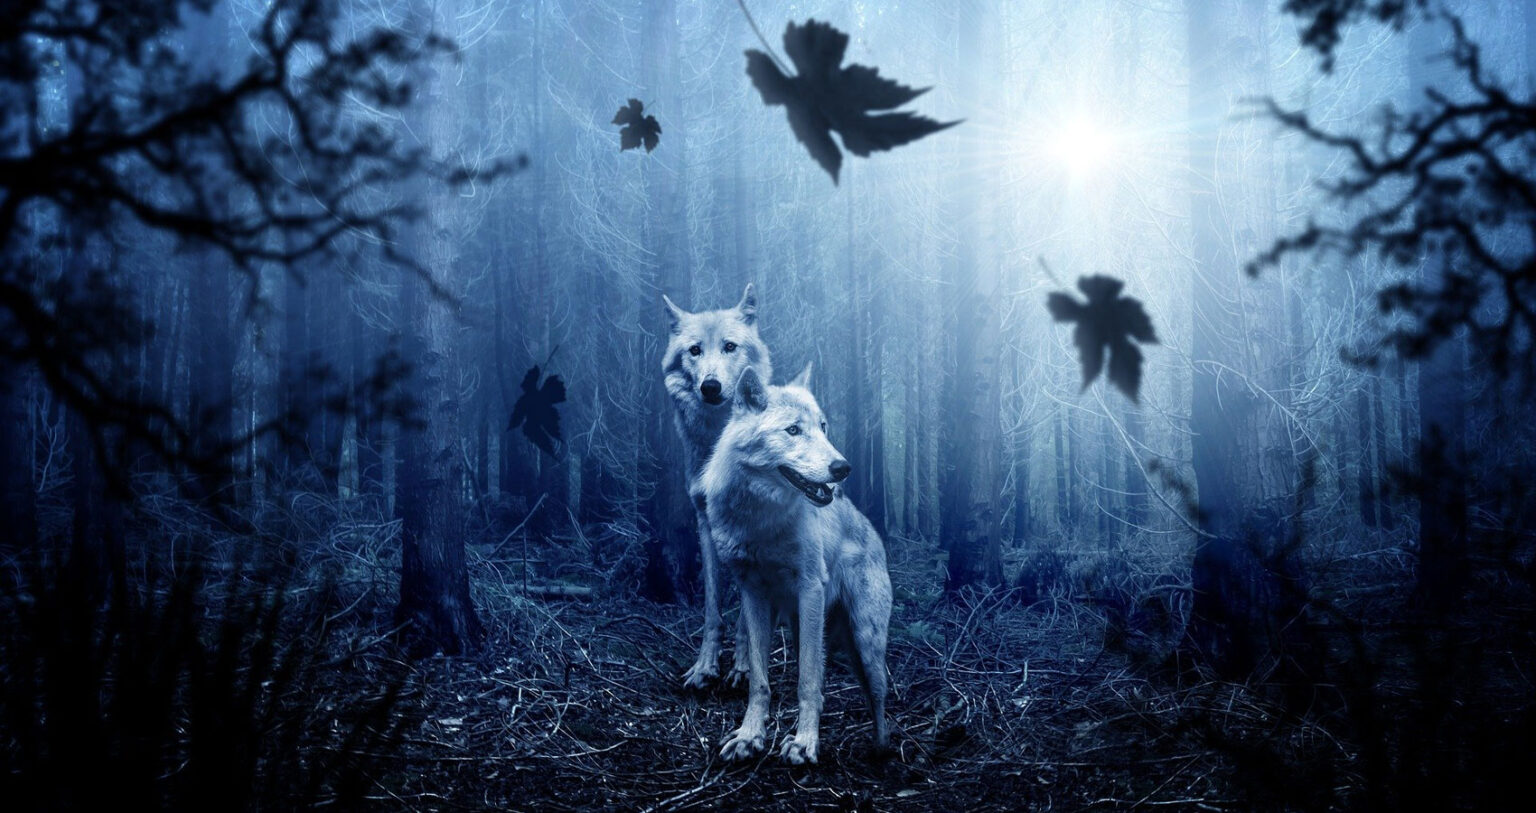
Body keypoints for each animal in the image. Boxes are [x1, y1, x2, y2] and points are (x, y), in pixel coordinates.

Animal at [663, 284, 773, 689]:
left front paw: (743, 667)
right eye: (695, 350)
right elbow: (712, 607)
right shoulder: (705, 522)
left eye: (729, 346)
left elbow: (746, 616)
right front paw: (704, 667)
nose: (710, 386)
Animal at [701, 364, 892, 764]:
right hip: (802, 626)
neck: (760, 521)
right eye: (793, 430)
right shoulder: (753, 594)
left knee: (878, 696)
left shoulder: (810, 589)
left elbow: (807, 681)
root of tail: (873, 533)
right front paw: (749, 737)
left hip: (865, 640)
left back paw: (880, 750)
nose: (843, 468)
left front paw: (805, 744)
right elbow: (760, 680)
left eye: (823, 427)